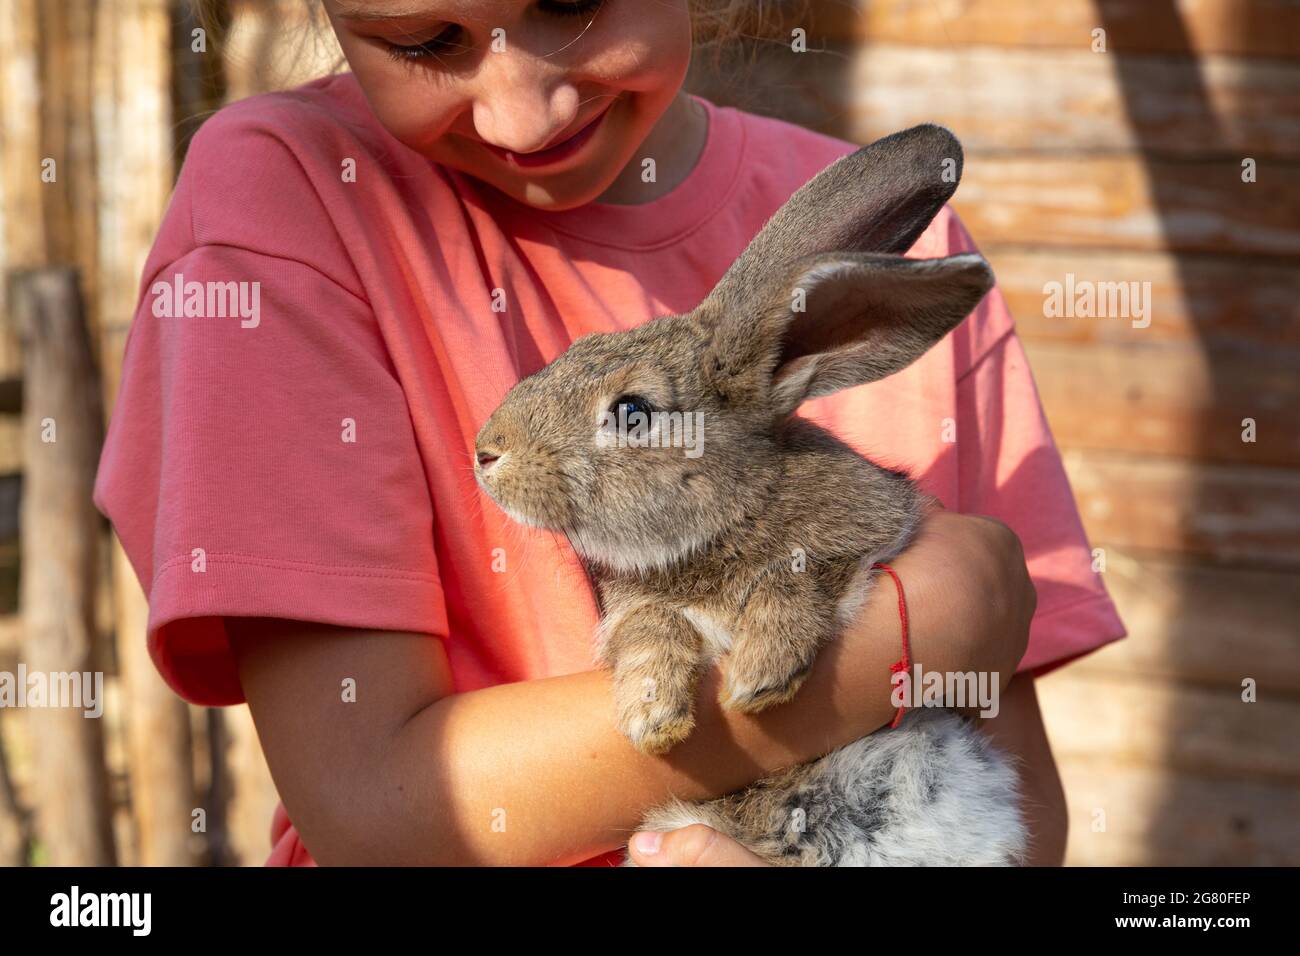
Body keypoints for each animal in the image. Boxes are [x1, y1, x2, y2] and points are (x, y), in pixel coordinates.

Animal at [474, 124, 1026, 866]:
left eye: (632, 412)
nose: (487, 451)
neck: (733, 512)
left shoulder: (869, 533)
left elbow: (804, 574)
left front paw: (761, 669)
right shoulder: (635, 607)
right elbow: (651, 622)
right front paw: (652, 712)